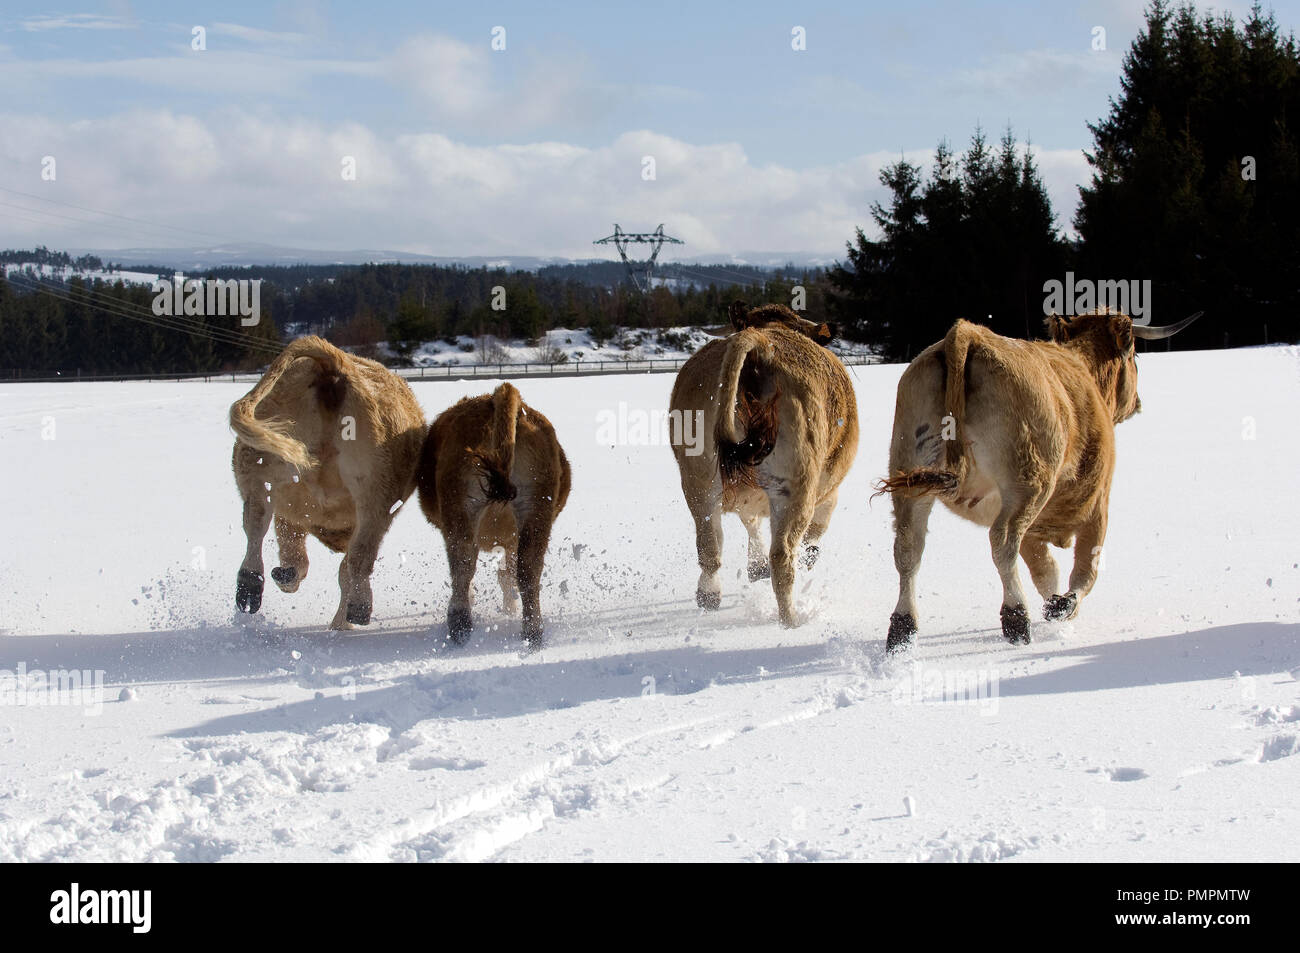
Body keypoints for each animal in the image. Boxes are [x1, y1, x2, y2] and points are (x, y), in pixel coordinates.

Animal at [230, 335, 427, 629]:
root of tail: (335, 365)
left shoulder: (291, 509)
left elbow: (294, 548)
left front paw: (287, 576)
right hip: (376, 493)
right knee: (360, 556)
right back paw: (358, 608)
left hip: (257, 465)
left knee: (256, 523)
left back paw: (249, 588)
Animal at [416, 382, 570, 647]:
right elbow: (508, 575)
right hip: (536, 509)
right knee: (528, 569)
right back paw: (532, 633)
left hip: (460, 510)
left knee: (462, 566)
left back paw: (459, 628)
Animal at [669, 302, 859, 627]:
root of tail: (759, 343)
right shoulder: (829, 491)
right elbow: (815, 533)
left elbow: (750, 521)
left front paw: (755, 567)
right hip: (797, 483)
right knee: (782, 557)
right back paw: (790, 621)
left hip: (697, 478)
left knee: (709, 546)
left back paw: (709, 595)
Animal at [876, 309, 1202, 651]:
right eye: (1135, 356)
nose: (1137, 401)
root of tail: (968, 333)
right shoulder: (1098, 502)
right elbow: (1084, 569)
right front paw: (1063, 606)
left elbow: (1045, 568)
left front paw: (1055, 604)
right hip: (1028, 482)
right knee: (1003, 540)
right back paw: (1016, 618)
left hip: (910, 477)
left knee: (909, 547)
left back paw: (902, 629)